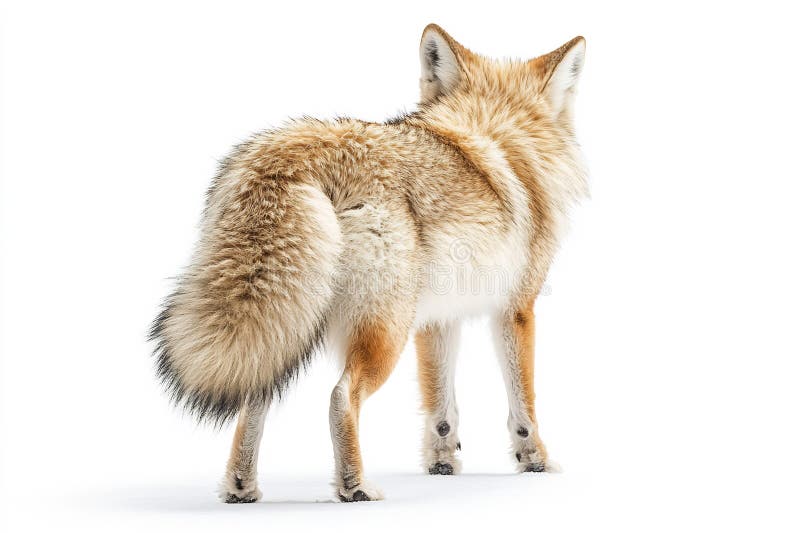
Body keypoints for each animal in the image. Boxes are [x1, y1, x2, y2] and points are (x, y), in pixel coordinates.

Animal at [150, 24, 588, 503]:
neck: (498, 132)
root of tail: (299, 152)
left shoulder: (437, 320)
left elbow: (441, 406)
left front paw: (441, 464)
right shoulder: (516, 309)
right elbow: (522, 402)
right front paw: (535, 461)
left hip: (291, 332)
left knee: (254, 393)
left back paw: (242, 487)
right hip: (384, 332)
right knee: (341, 397)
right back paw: (354, 486)